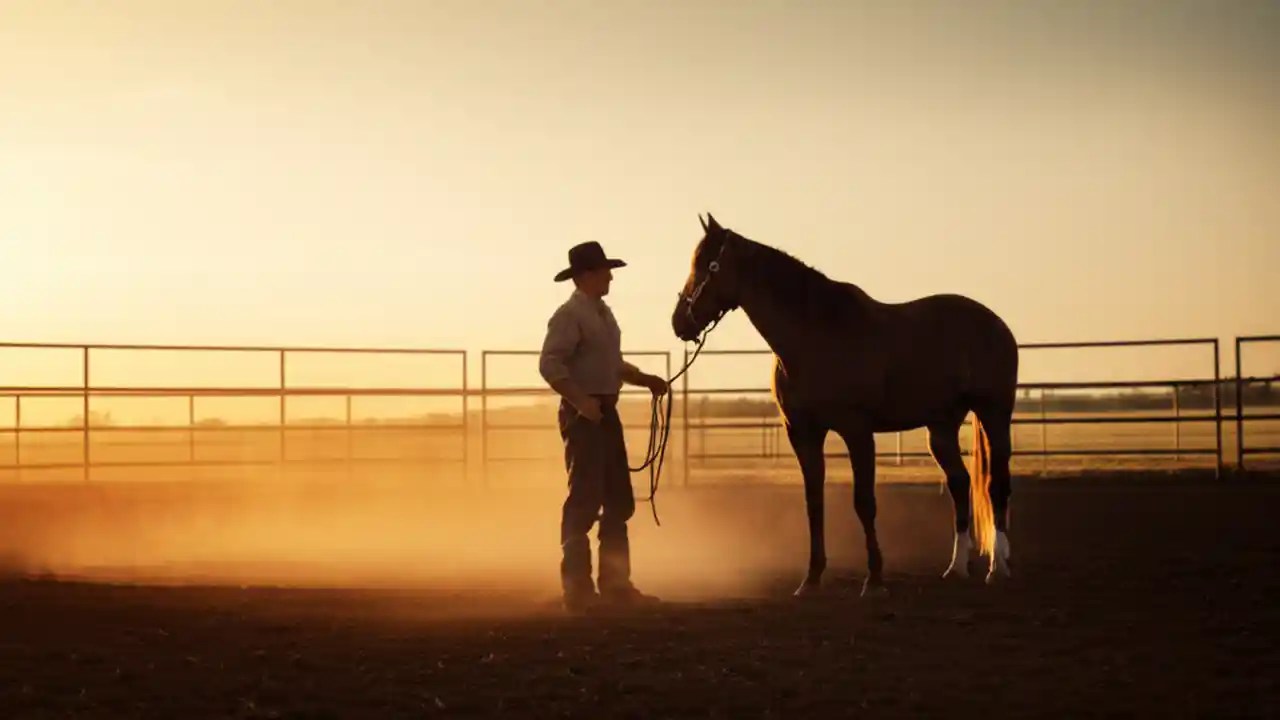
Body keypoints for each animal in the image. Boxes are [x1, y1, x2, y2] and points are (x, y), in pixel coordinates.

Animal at [671, 213, 1019, 596]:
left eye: (709, 265)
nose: (679, 322)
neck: (814, 337)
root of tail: (995, 322)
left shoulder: (857, 431)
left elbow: (864, 502)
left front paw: (874, 579)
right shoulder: (802, 433)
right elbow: (814, 503)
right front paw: (810, 579)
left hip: (994, 414)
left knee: (996, 484)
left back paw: (997, 568)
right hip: (941, 427)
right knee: (959, 483)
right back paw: (956, 568)